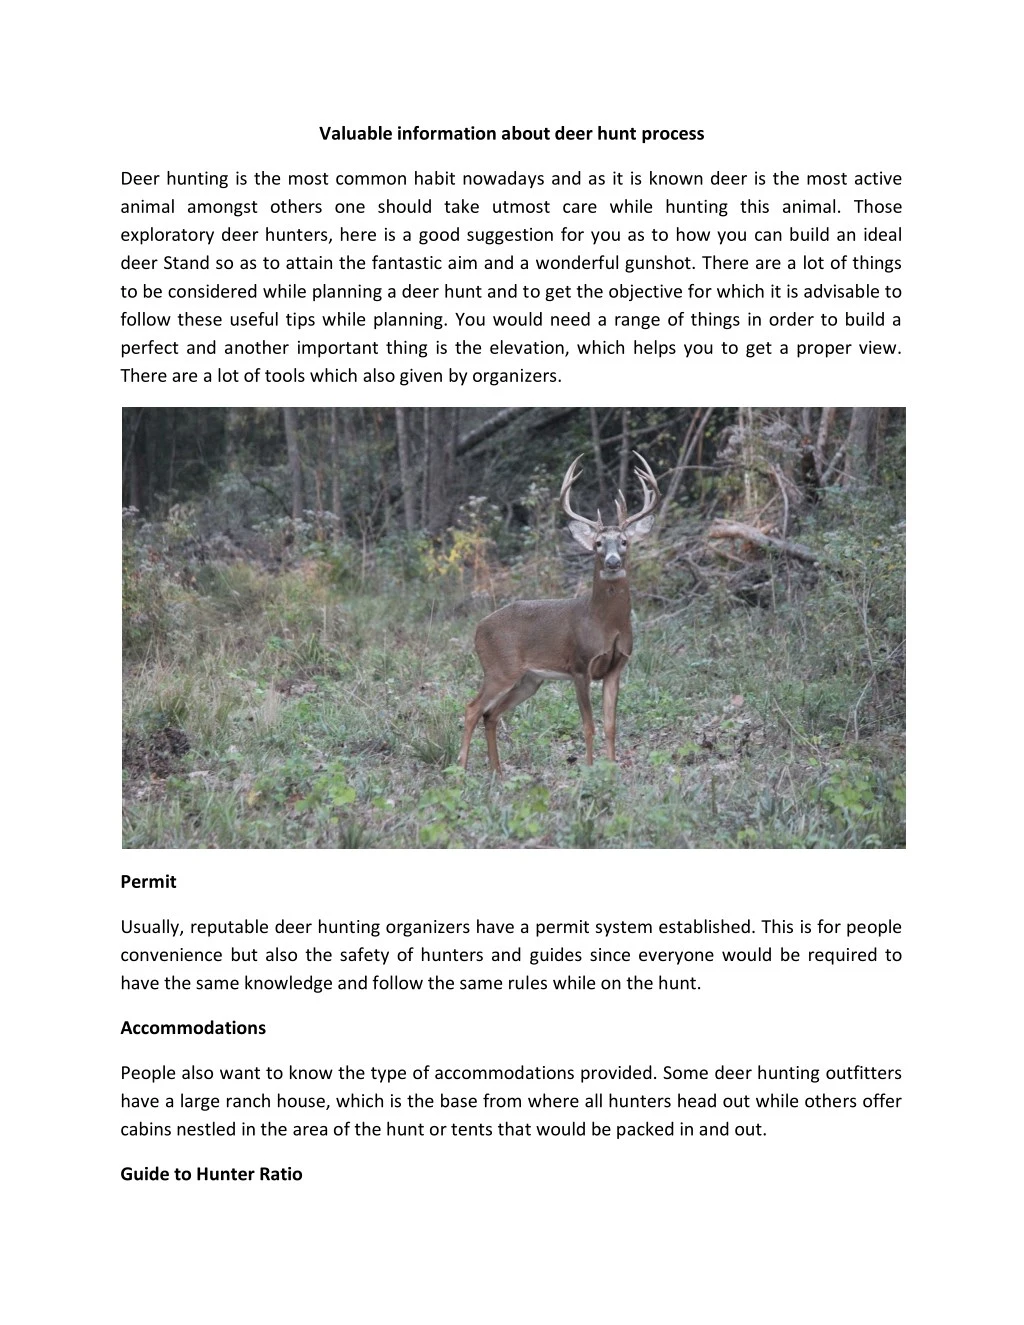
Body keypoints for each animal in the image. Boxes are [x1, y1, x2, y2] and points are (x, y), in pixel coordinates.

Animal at [457, 452, 660, 775]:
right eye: (598, 543)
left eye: (625, 541)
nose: (612, 562)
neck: (604, 623)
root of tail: (478, 628)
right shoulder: (579, 665)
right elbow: (588, 725)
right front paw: (589, 770)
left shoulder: (616, 667)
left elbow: (610, 725)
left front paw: (612, 770)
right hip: (499, 668)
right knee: (472, 708)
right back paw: (461, 770)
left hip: (529, 680)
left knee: (491, 714)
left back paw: (497, 773)